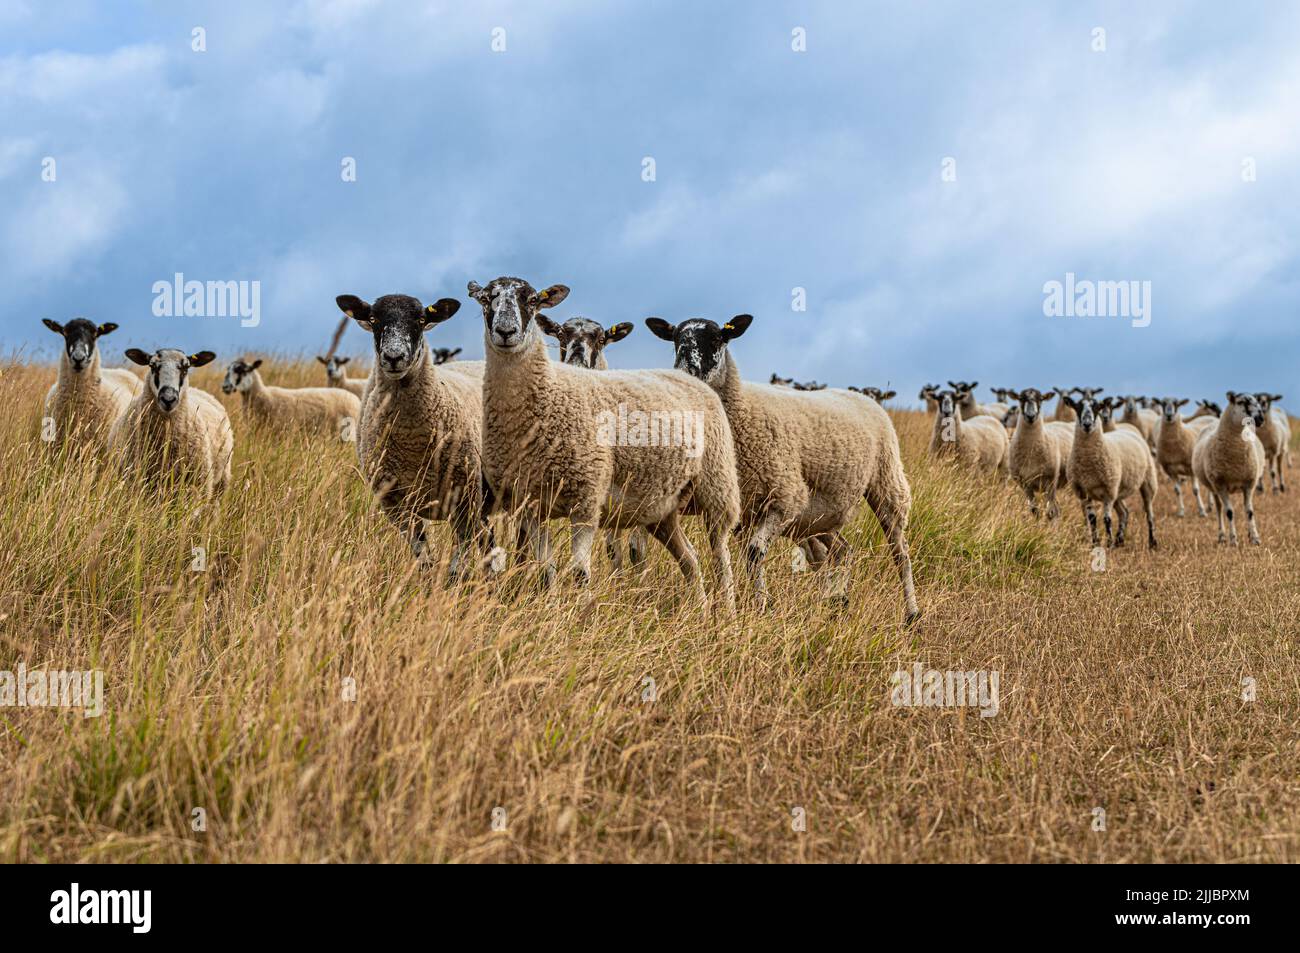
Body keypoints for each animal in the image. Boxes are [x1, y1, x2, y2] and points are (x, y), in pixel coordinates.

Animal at [334, 292, 489, 578]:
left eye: (421, 320)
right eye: (373, 318)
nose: (394, 356)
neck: (412, 445)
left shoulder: (464, 497)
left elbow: (459, 560)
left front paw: (455, 582)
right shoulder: (394, 503)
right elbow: (423, 556)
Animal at [645, 312, 919, 624]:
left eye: (716, 339)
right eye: (675, 340)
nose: (686, 373)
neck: (740, 413)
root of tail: (862, 397)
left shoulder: (785, 498)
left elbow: (754, 554)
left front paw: (761, 605)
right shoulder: (745, 511)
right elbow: (744, 555)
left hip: (886, 484)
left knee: (900, 553)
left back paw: (912, 614)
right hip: (819, 514)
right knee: (843, 552)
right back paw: (837, 603)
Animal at [1007, 388, 1074, 519]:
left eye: (1041, 399)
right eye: (1021, 398)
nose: (1031, 416)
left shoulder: (1051, 481)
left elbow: (1051, 513)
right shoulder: (1025, 484)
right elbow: (1034, 511)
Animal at [1063, 394, 1158, 549]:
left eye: (1097, 407)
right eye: (1077, 407)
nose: (1087, 424)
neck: (1088, 465)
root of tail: (1127, 430)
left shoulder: (1108, 490)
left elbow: (1107, 519)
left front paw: (1108, 543)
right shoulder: (1084, 492)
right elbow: (1092, 519)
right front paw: (1096, 543)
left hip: (1147, 481)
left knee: (1149, 512)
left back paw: (1152, 542)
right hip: (1118, 490)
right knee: (1124, 512)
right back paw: (1120, 540)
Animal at [1192, 392, 1268, 546]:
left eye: (1257, 401)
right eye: (1240, 402)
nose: (1260, 418)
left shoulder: (1249, 484)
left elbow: (1249, 512)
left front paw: (1255, 538)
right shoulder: (1221, 485)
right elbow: (1229, 512)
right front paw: (1233, 540)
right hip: (1213, 487)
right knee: (1219, 509)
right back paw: (1222, 536)